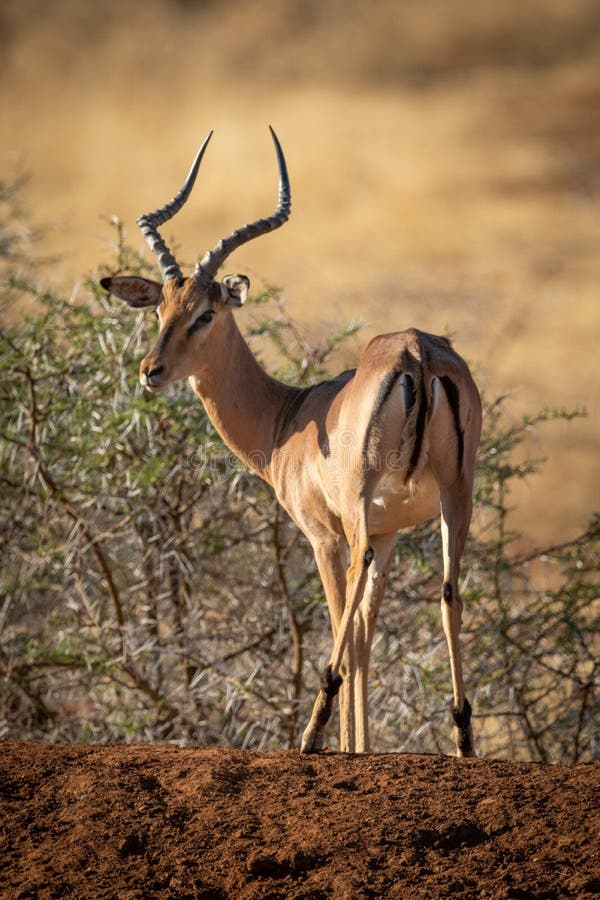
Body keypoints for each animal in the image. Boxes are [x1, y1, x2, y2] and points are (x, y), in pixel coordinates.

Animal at [101, 127, 482, 756]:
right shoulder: (392, 534)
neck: (287, 419)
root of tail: (415, 353)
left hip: (357, 515)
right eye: (160, 309)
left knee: (354, 595)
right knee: (449, 590)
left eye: (205, 313)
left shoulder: (324, 534)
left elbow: (346, 634)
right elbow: (367, 637)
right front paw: (364, 746)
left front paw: (346, 743)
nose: (150, 370)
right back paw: (464, 738)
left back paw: (311, 732)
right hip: (458, 495)